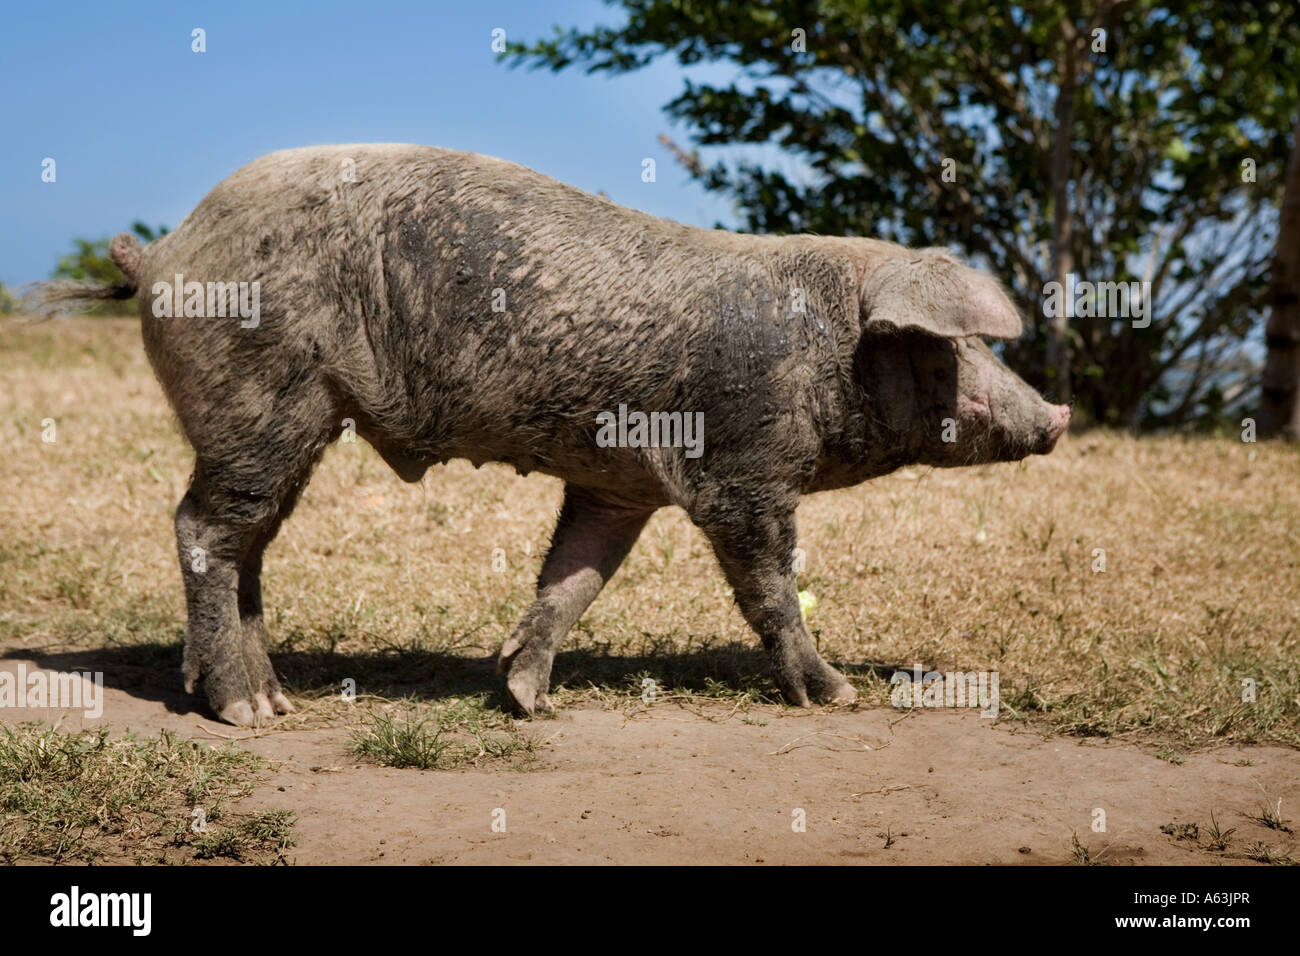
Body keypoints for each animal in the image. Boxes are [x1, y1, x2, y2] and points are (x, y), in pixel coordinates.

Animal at [34, 144, 1070, 726]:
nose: (1057, 416)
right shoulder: (741, 470)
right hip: (256, 398)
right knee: (204, 530)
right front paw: (838, 696)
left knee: (247, 542)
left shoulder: (621, 483)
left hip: (292, 423)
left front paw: (527, 700)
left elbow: (574, 578)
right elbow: (770, 584)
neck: (824, 344)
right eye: (958, 346)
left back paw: (276, 701)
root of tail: (161, 251)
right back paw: (246, 715)